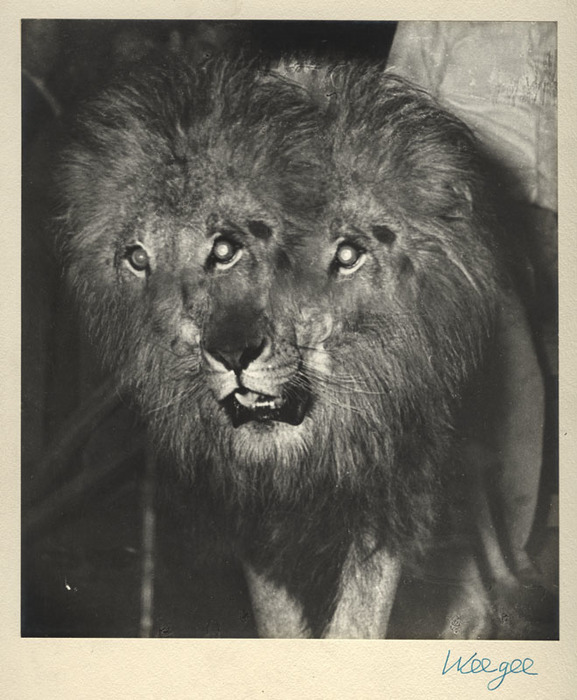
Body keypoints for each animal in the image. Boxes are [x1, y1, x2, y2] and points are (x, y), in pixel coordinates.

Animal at [57, 56, 543, 638]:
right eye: (136, 259)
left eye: (224, 249)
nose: (228, 354)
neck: (304, 451)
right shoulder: (251, 513)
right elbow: (280, 625)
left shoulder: (390, 490)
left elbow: (356, 624)